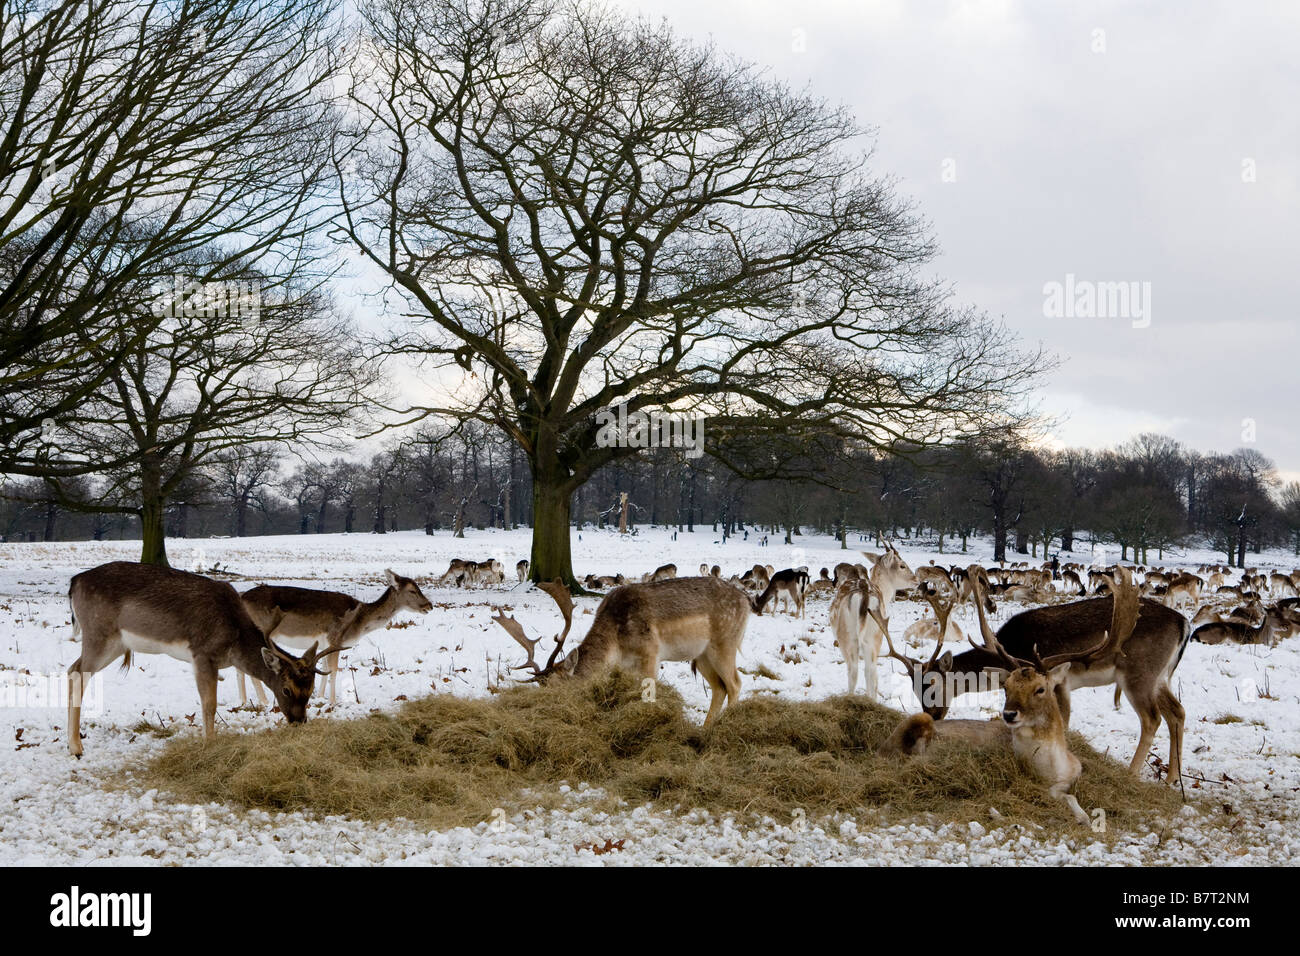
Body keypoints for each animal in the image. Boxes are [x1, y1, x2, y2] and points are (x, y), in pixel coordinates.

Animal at [65, 562, 345, 756]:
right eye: (286, 689)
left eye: (309, 689)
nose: (299, 721)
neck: (234, 639)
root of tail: (75, 582)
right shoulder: (202, 654)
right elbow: (209, 704)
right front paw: (209, 743)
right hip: (99, 632)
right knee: (78, 673)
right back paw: (76, 747)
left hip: (115, 643)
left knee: (71, 669)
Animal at [237, 570, 433, 707]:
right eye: (413, 591)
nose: (429, 605)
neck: (360, 622)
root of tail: (241, 596)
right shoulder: (336, 638)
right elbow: (334, 670)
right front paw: (332, 702)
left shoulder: (325, 643)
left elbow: (324, 668)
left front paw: (320, 697)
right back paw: (263, 701)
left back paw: (244, 701)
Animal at [491, 576, 754, 725]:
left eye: (558, 687)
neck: (617, 644)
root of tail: (747, 601)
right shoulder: (626, 666)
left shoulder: (651, 653)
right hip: (702, 655)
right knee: (720, 688)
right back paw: (705, 729)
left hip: (725, 643)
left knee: (735, 683)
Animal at [878, 563, 1189, 785]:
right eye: (914, 688)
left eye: (932, 682)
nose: (931, 715)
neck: (1008, 648)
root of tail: (1183, 623)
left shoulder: (1060, 682)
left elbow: (1063, 724)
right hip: (1161, 677)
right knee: (1178, 712)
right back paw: (1174, 778)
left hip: (1139, 673)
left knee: (1152, 718)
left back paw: (1132, 773)